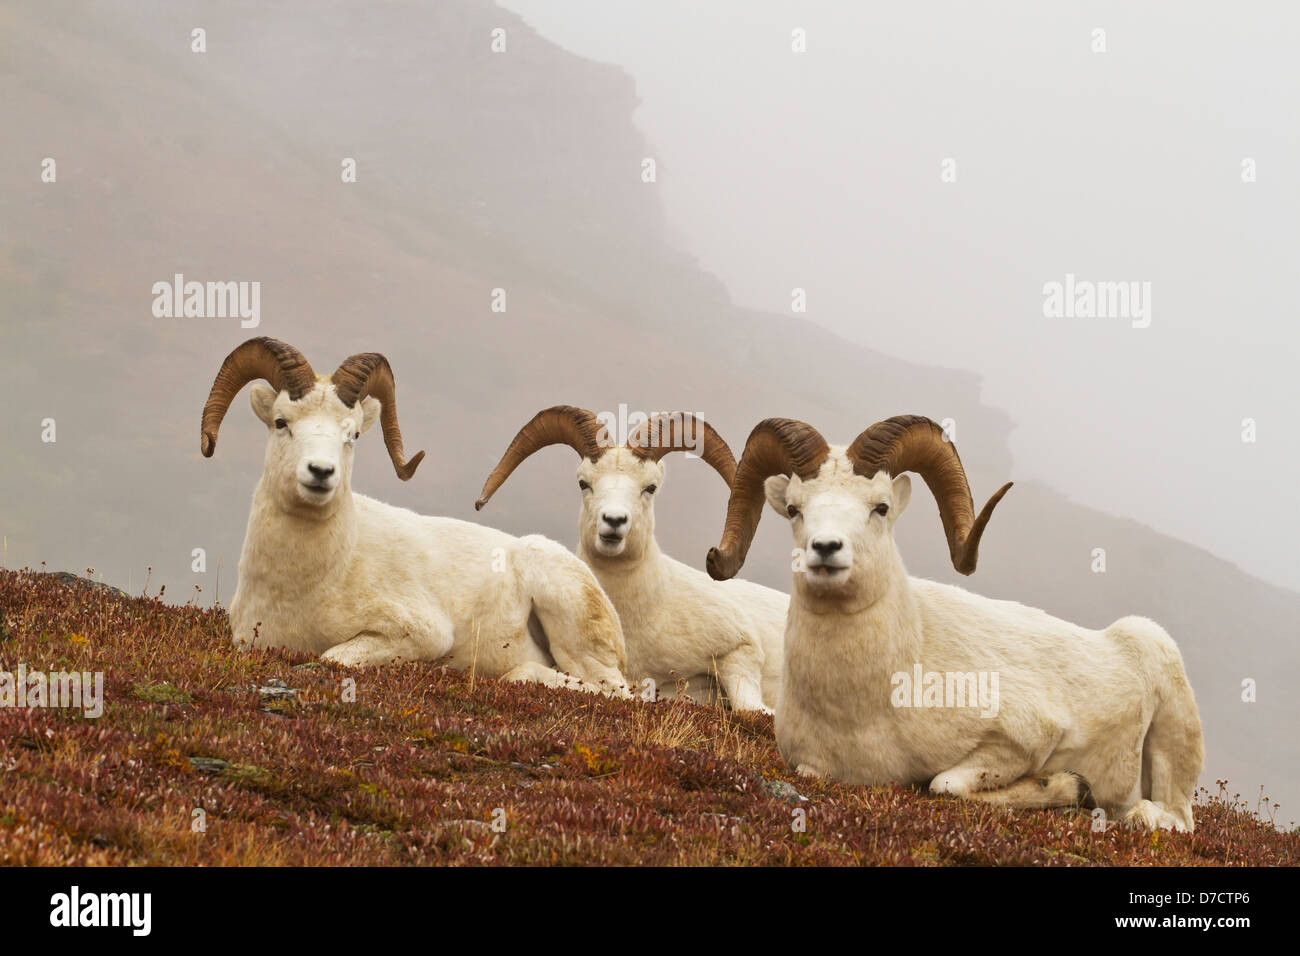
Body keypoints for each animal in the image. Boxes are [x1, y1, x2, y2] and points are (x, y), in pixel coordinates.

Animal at [199, 338, 630, 697]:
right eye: (281, 422)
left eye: (352, 434)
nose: (320, 472)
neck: (309, 582)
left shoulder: (421, 634)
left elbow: (332, 656)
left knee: (609, 689)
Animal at [705, 414, 1204, 831]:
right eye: (794, 509)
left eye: (880, 507)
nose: (826, 549)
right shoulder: (811, 767)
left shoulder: (1024, 740)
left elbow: (944, 785)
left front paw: (1070, 787)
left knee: (1176, 817)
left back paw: (1140, 815)